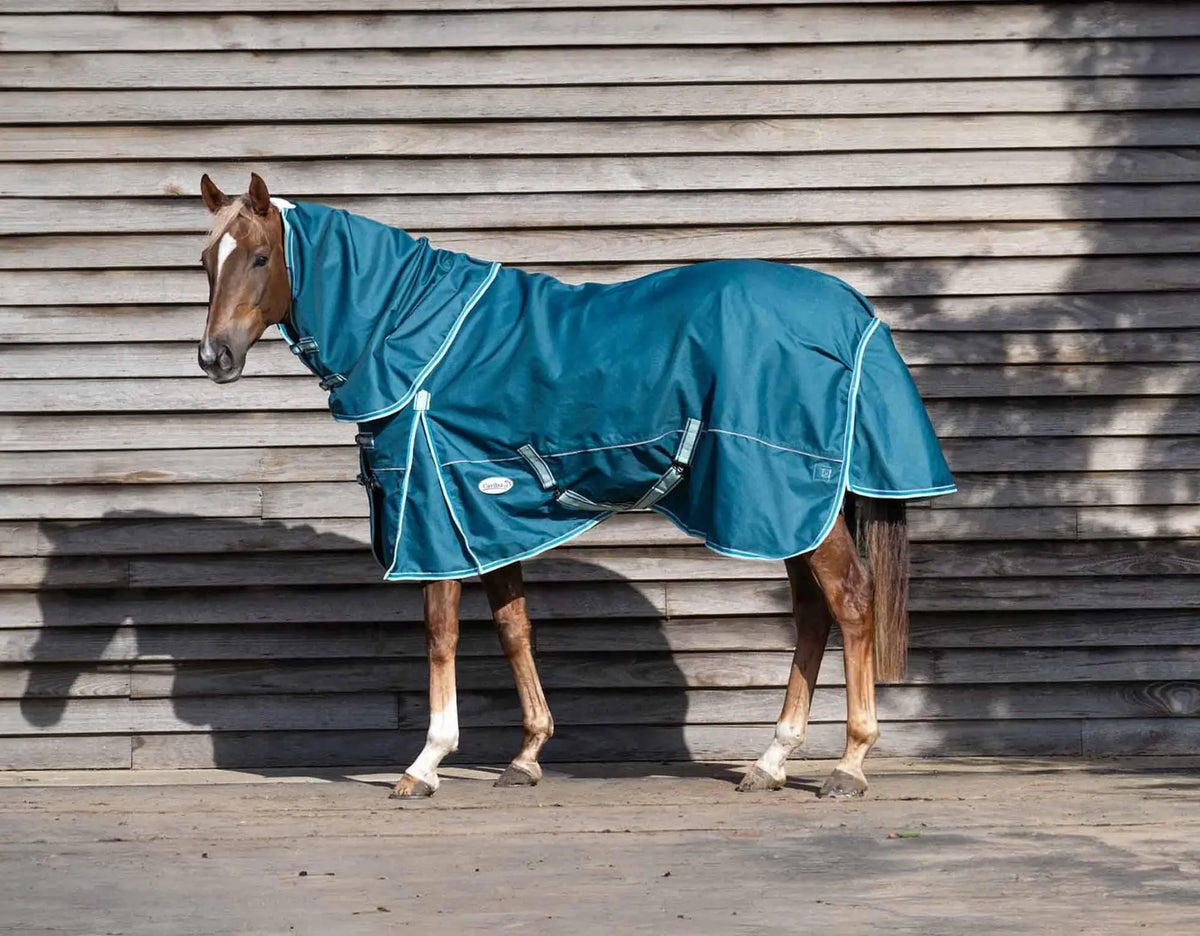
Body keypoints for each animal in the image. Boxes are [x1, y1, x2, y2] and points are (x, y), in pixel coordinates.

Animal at [197, 172, 955, 799]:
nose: (214, 357)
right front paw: (527, 757)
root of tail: (853, 311)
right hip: (792, 511)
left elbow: (441, 633)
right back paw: (770, 762)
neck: (415, 332)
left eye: (259, 258)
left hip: (787, 494)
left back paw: (849, 766)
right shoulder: (484, 517)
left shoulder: (433, 512)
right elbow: (514, 628)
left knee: (850, 601)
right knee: (811, 613)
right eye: (206, 262)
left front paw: (425, 764)